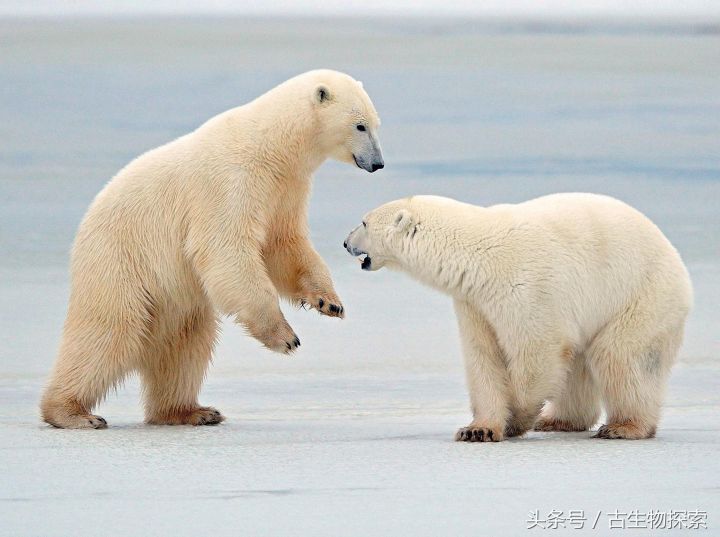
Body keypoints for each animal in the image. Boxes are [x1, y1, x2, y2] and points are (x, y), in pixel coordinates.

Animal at [42, 69, 386, 430]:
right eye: (360, 126)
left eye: (376, 123)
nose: (378, 163)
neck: (271, 147)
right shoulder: (230, 183)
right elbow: (226, 248)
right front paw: (285, 337)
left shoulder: (285, 190)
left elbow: (283, 246)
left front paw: (328, 302)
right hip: (120, 261)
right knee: (110, 332)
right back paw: (72, 412)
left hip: (172, 299)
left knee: (185, 345)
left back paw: (191, 411)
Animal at [346, 193, 696, 440]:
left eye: (363, 222)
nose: (345, 242)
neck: (476, 253)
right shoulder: (474, 302)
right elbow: (483, 357)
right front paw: (478, 429)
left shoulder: (526, 288)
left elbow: (536, 352)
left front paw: (516, 417)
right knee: (579, 365)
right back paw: (558, 420)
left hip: (641, 296)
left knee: (620, 357)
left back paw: (624, 427)